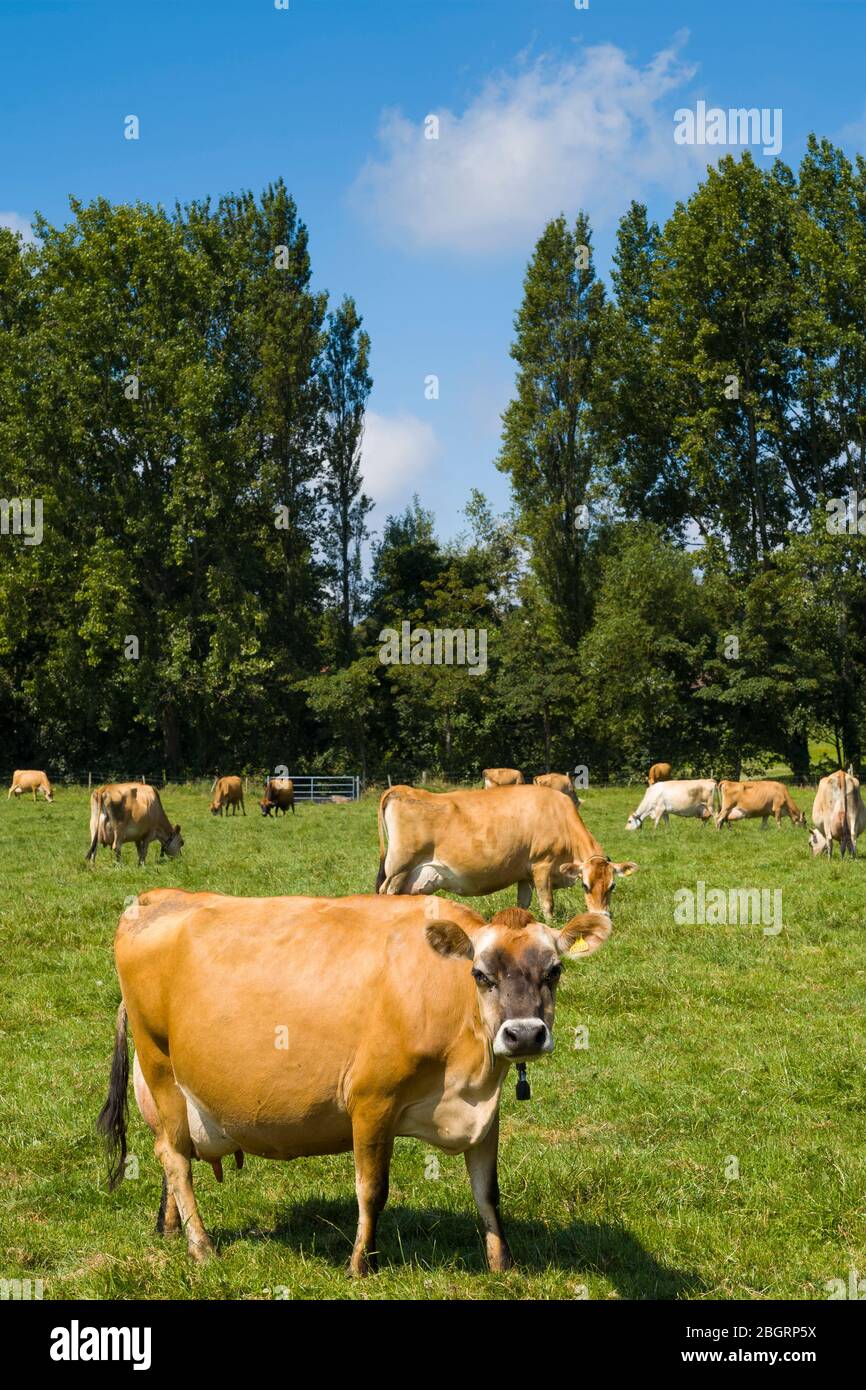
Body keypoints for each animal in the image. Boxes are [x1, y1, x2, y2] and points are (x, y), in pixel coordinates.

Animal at [97, 889, 612, 1275]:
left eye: (554, 971)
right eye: (481, 974)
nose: (523, 1034)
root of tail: (156, 897)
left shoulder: (486, 1109)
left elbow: (488, 1190)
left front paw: (501, 1263)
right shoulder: (370, 1098)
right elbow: (372, 1189)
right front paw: (361, 1264)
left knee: (173, 1151)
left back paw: (170, 1229)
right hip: (160, 1063)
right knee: (175, 1158)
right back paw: (201, 1247)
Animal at [376, 783, 636, 921]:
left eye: (612, 886)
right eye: (585, 885)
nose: (601, 916)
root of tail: (403, 789)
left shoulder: (524, 875)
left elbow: (523, 903)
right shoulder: (542, 865)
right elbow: (547, 902)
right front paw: (552, 926)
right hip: (399, 867)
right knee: (386, 893)